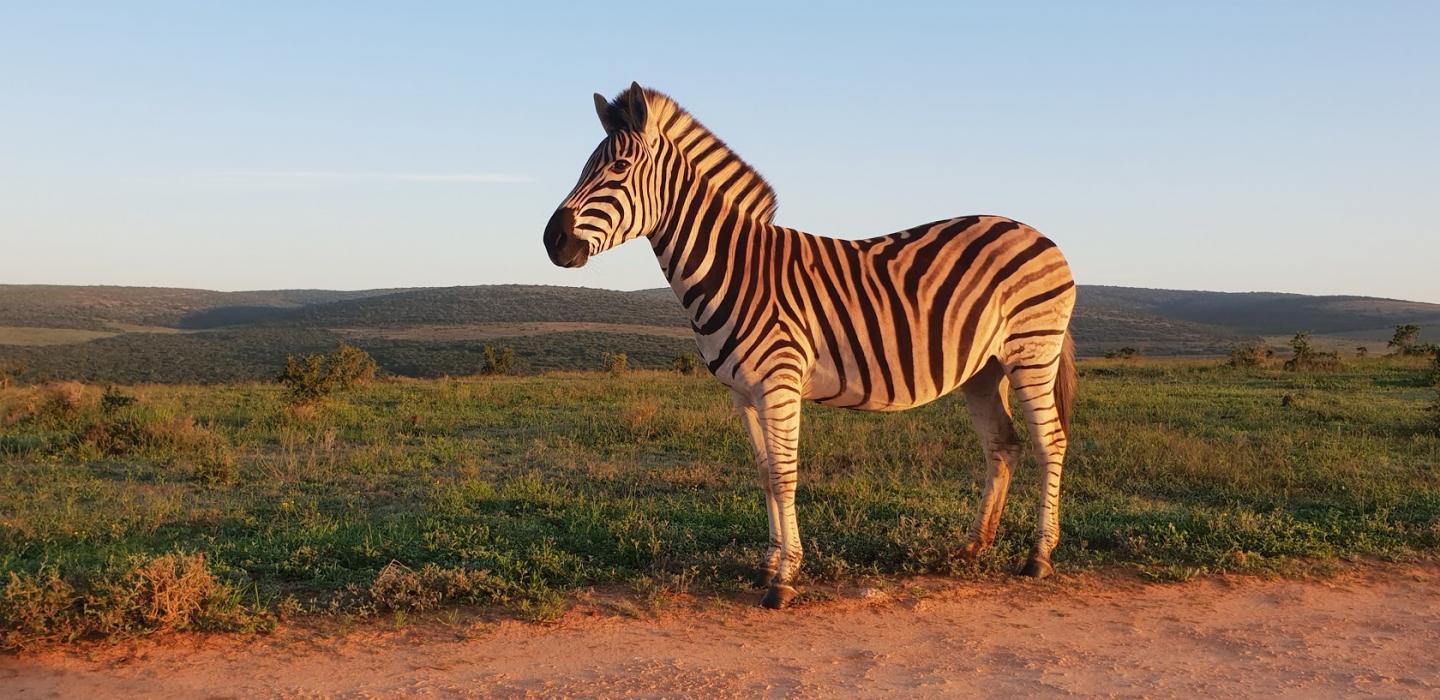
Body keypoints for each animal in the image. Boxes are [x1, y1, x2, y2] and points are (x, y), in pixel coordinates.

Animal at [544, 83, 1077, 609]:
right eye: (586, 166)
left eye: (617, 167)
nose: (552, 241)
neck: (735, 270)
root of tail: (1038, 234)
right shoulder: (742, 393)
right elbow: (764, 473)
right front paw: (766, 565)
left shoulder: (779, 382)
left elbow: (784, 475)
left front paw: (785, 578)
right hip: (984, 369)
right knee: (1002, 445)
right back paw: (973, 546)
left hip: (1031, 354)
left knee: (1049, 442)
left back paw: (1038, 557)